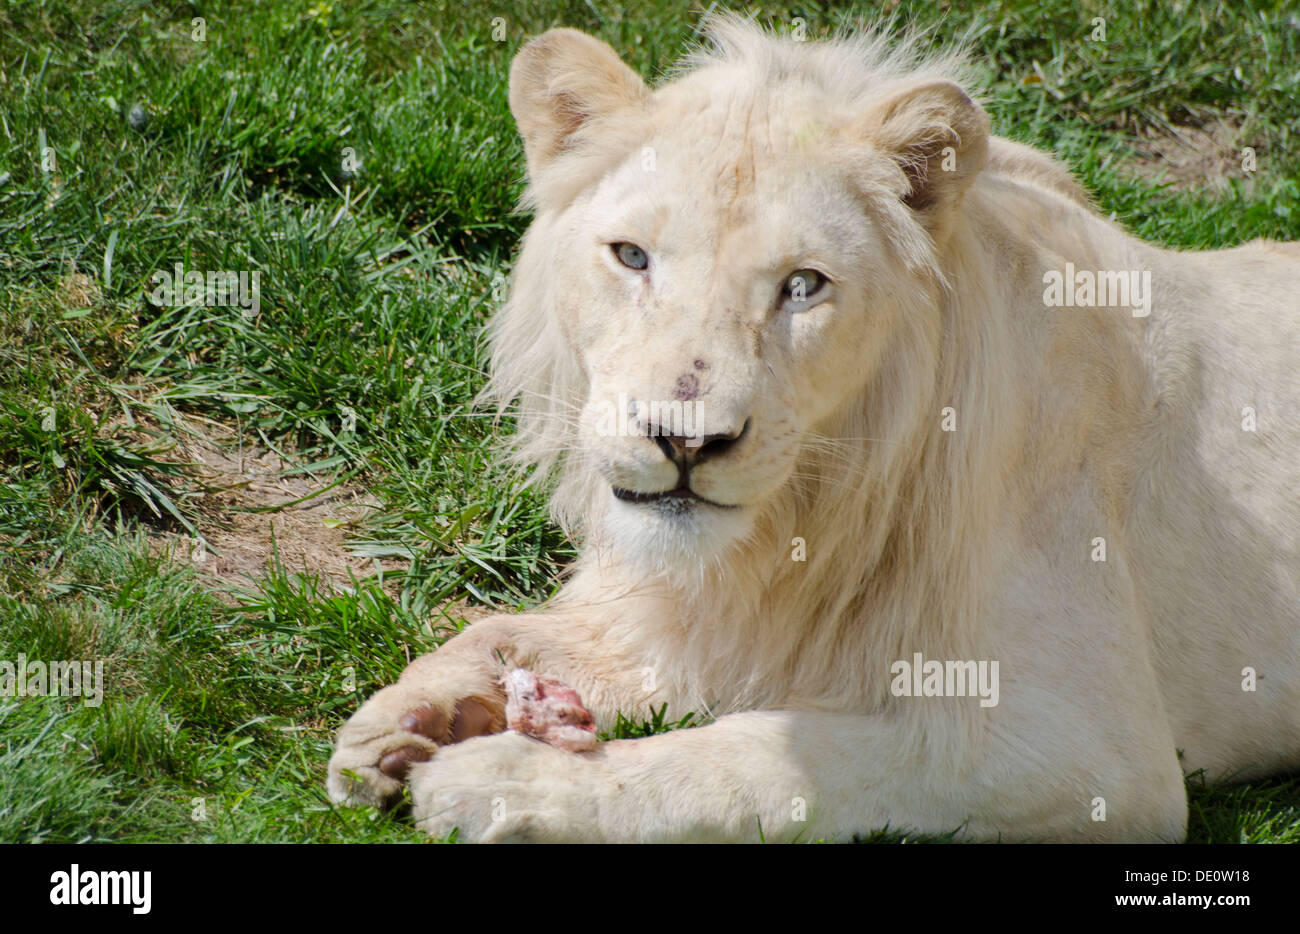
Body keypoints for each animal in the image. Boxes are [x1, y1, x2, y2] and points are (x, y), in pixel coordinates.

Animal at [327, 15, 1300, 842]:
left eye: (802, 285)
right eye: (632, 257)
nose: (685, 441)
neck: (795, 531)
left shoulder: (1090, 753)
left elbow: (746, 760)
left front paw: (501, 784)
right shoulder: (703, 618)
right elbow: (505, 630)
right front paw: (406, 723)